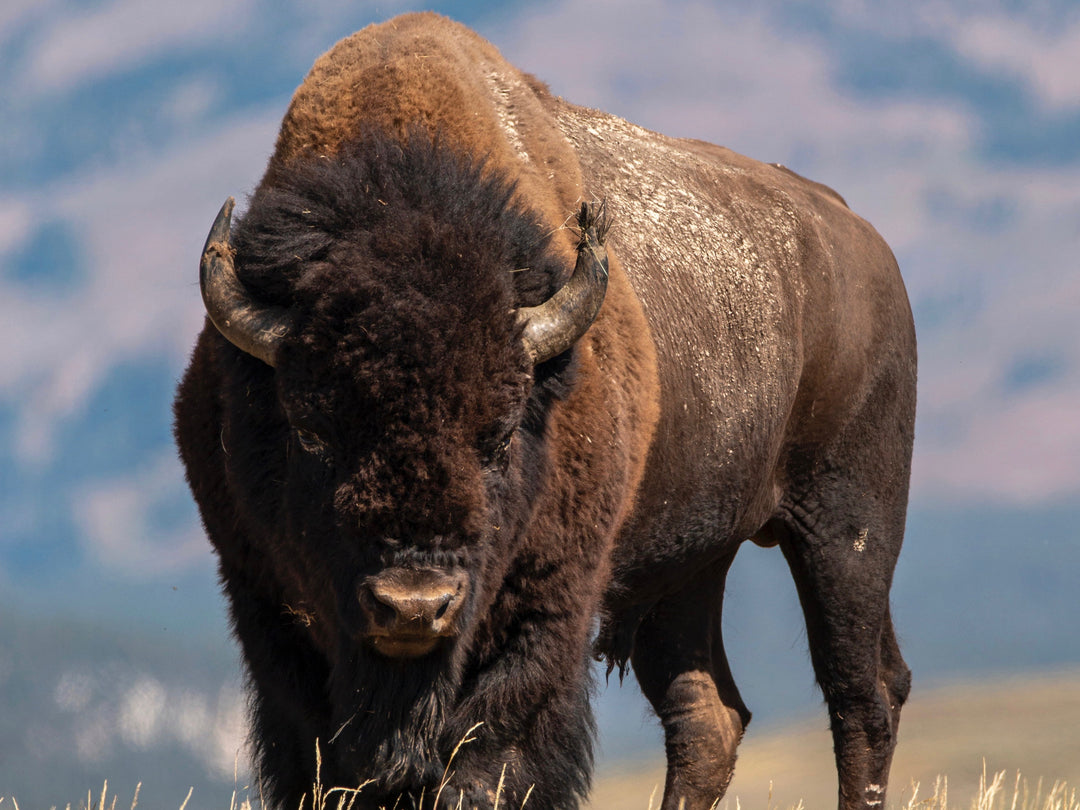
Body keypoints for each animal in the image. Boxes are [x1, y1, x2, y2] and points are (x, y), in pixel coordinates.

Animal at [174, 12, 916, 810]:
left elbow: (490, 756)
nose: (415, 606)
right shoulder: (265, 600)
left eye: (498, 436)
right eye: (311, 433)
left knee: (863, 695)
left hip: (846, 529)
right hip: (689, 568)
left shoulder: (547, 605)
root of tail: (859, 236)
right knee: (708, 715)